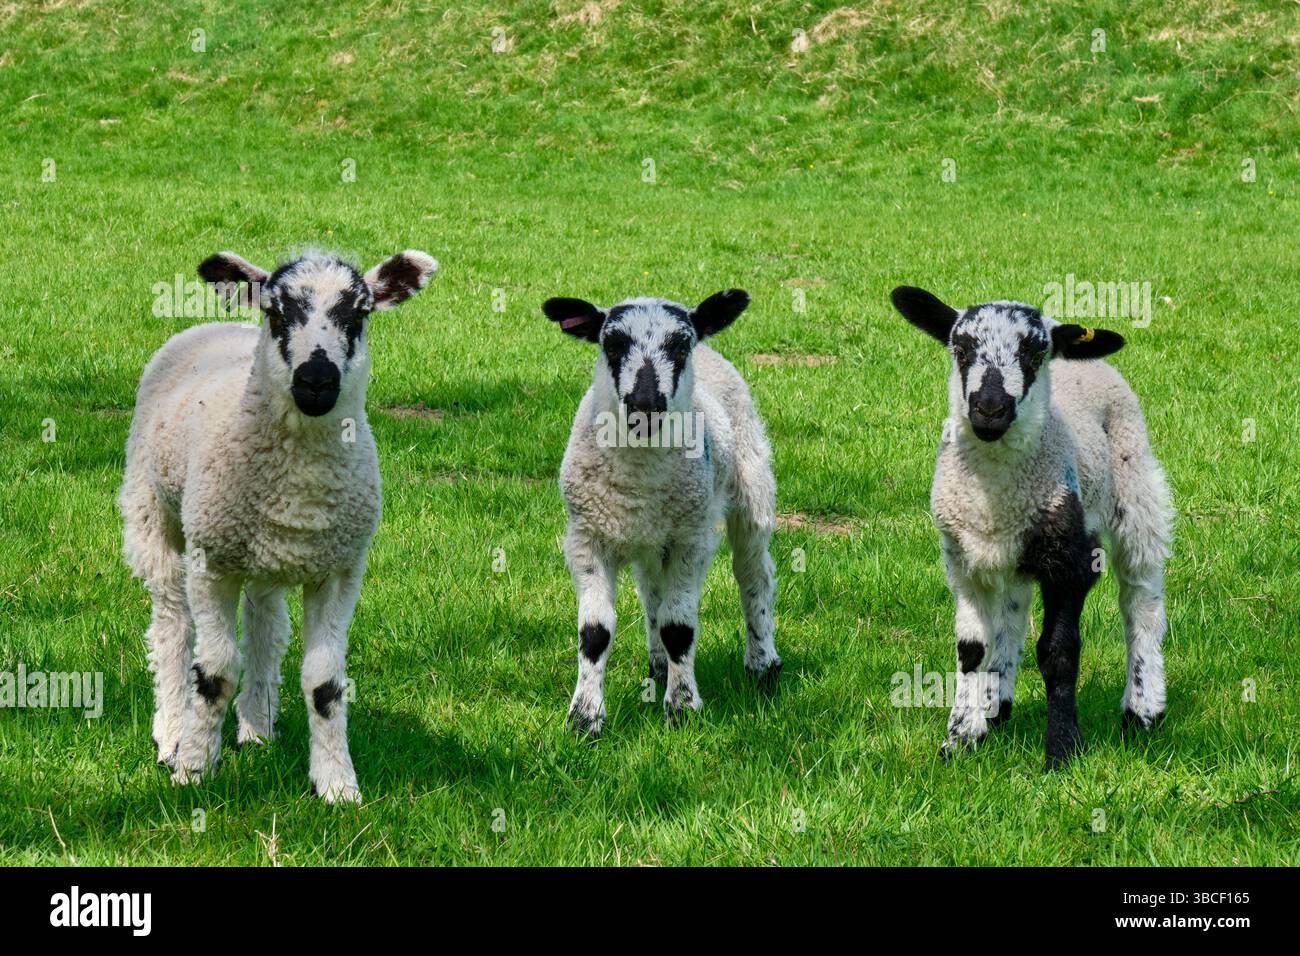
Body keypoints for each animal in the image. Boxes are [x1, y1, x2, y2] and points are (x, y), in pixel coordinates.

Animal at [118, 248, 438, 802]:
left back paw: (256, 726)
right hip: (153, 512)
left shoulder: (341, 569)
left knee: (265, 623)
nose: (317, 381)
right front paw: (194, 771)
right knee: (172, 624)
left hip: (265, 553)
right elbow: (215, 672)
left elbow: (325, 682)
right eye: (276, 312)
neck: (300, 485)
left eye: (359, 314)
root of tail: (213, 323)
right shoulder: (211, 561)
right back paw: (173, 731)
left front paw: (337, 785)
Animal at [541, 290, 781, 736]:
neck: (640, 477)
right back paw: (658, 669)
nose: (645, 405)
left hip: (751, 485)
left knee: (754, 573)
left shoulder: (692, 539)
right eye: (611, 345)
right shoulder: (585, 539)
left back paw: (762, 665)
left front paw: (683, 709)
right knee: (652, 592)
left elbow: (678, 626)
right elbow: (595, 631)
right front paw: (584, 718)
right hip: (652, 539)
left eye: (681, 347)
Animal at [890, 286, 1172, 769]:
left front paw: (1062, 750)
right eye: (960, 348)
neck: (996, 498)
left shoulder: (1072, 561)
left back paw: (1142, 709)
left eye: (1035, 352)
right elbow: (971, 650)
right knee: (1013, 610)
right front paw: (960, 737)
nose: (989, 408)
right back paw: (996, 705)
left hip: (1135, 483)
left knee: (1142, 597)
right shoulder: (963, 562)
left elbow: (1059, 653)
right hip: (1011, 555)